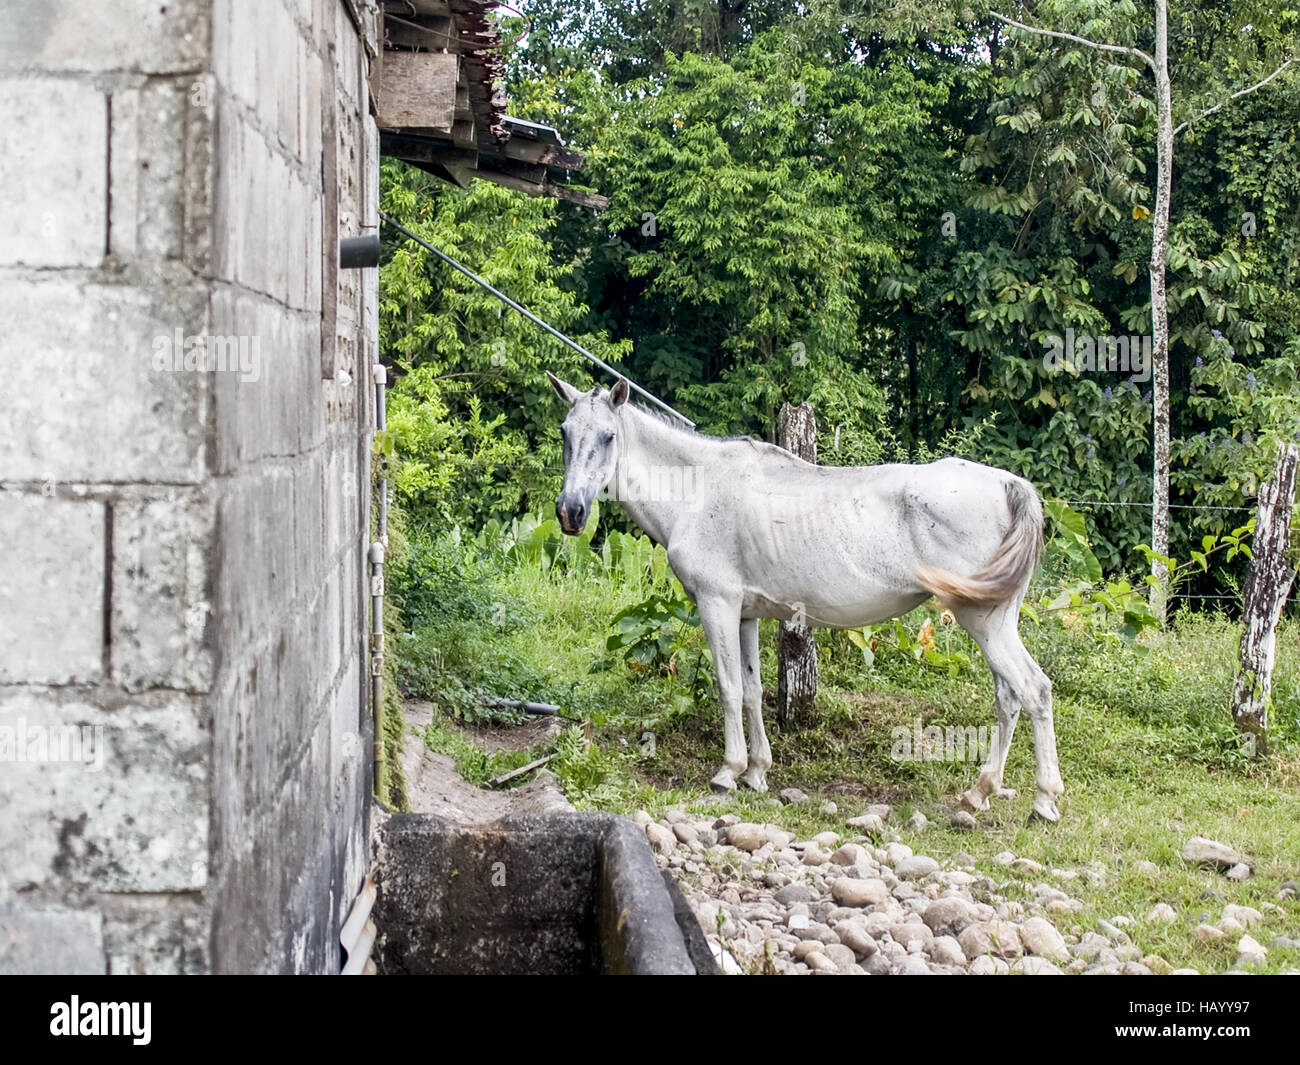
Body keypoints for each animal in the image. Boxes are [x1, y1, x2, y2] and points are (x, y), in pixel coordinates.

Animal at [546, 372, 1064, 822]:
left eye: (608, 436)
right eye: (566, 432)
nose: (570, 512)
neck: (699, 489)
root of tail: (1008, 484)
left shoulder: (717, 606)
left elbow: (728, 688)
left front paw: (728, 772)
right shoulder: (745, 616)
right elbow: (752, 690)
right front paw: (757, 772)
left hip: (983, 621)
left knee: (1033, 689)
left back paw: (1043, 802)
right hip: (994, 622)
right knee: (1008, 696)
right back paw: (980, 791)